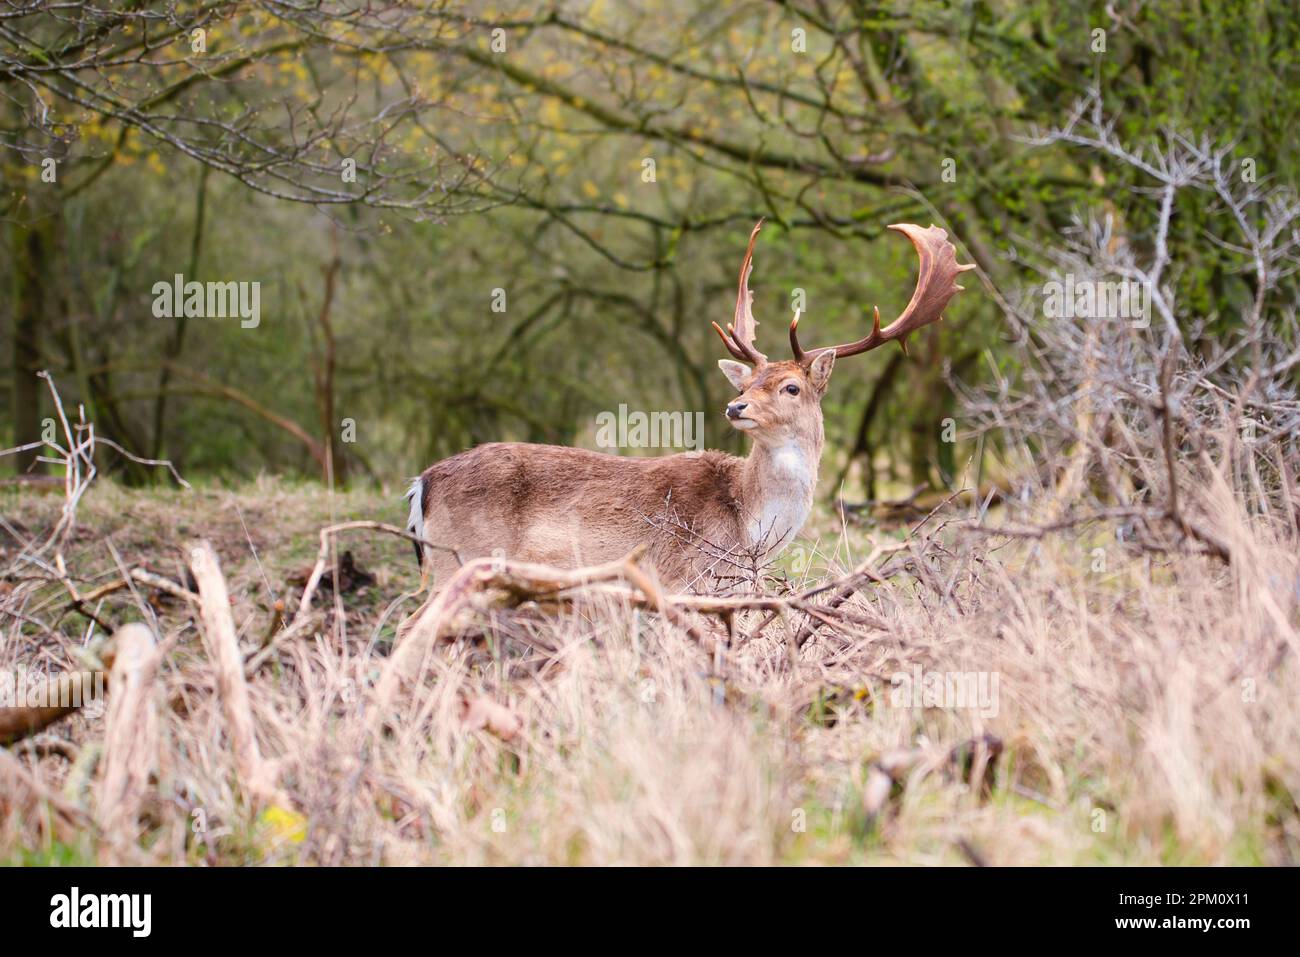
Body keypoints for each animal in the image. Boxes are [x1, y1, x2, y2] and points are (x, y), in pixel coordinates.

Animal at [402, 221, 973, 604]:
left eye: (790, 386)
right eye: (749, 382)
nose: (735, 405)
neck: (748, 526)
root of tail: (421, 483)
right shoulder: (683, 576)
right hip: (461, 558)